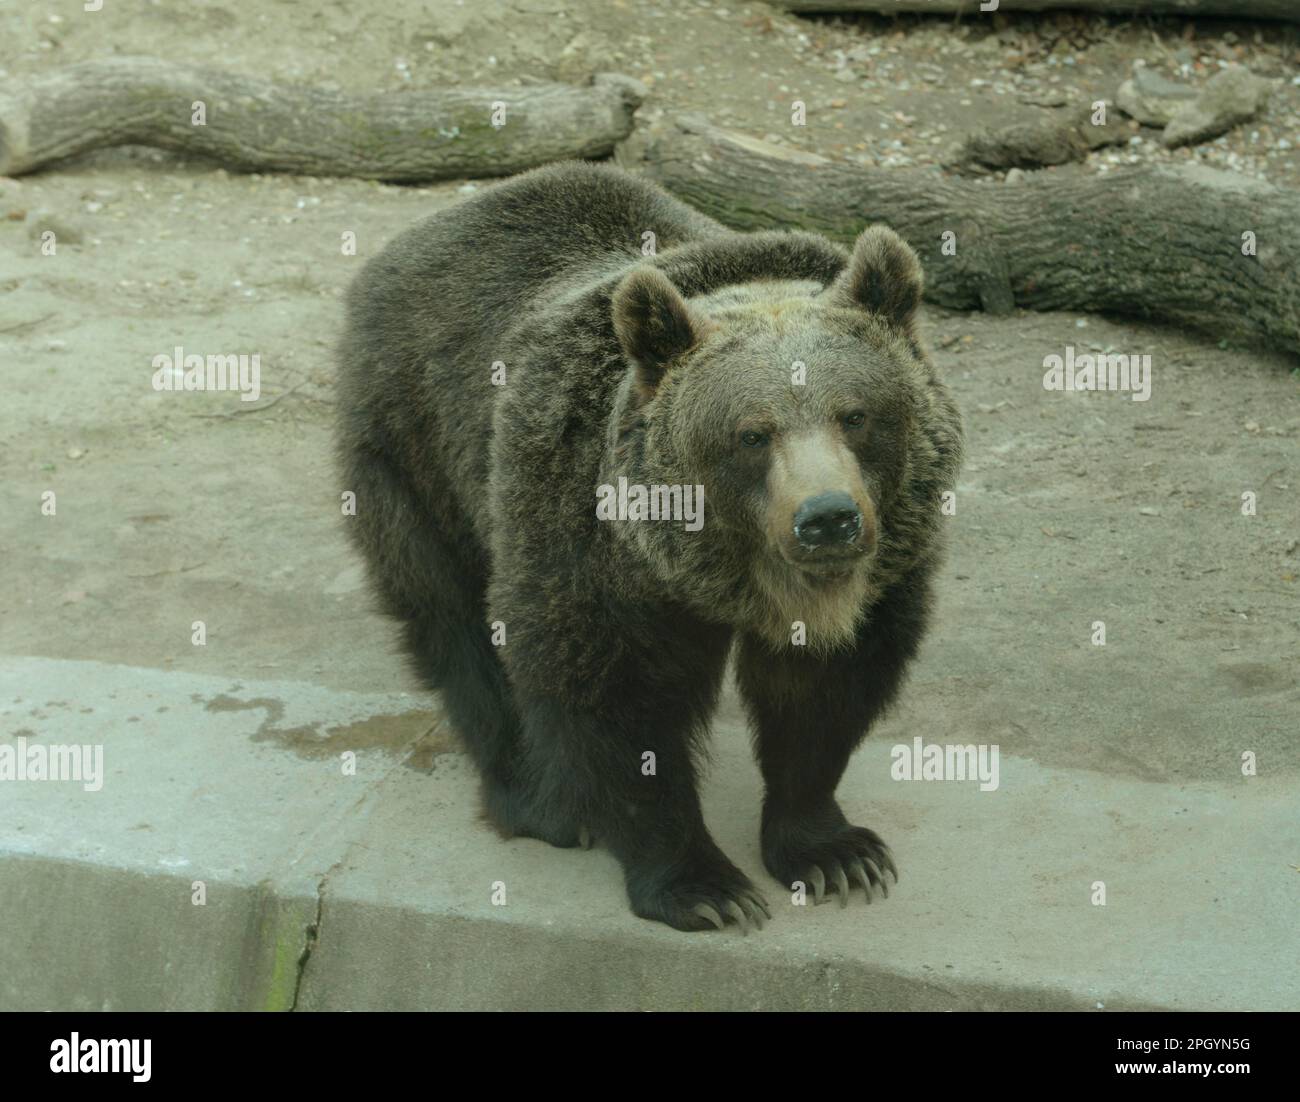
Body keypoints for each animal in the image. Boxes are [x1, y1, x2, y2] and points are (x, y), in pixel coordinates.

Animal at [335, 162, 963, 933]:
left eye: (857, 415)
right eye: (751, 434)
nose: (827, 518)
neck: (718, 570)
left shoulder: (886, 568)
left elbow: (824, 689)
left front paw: (834, 853)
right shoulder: (585, 536)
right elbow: (613, 695)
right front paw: (703, 885)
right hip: (416, 451)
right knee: (453, 618)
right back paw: (537, 800)